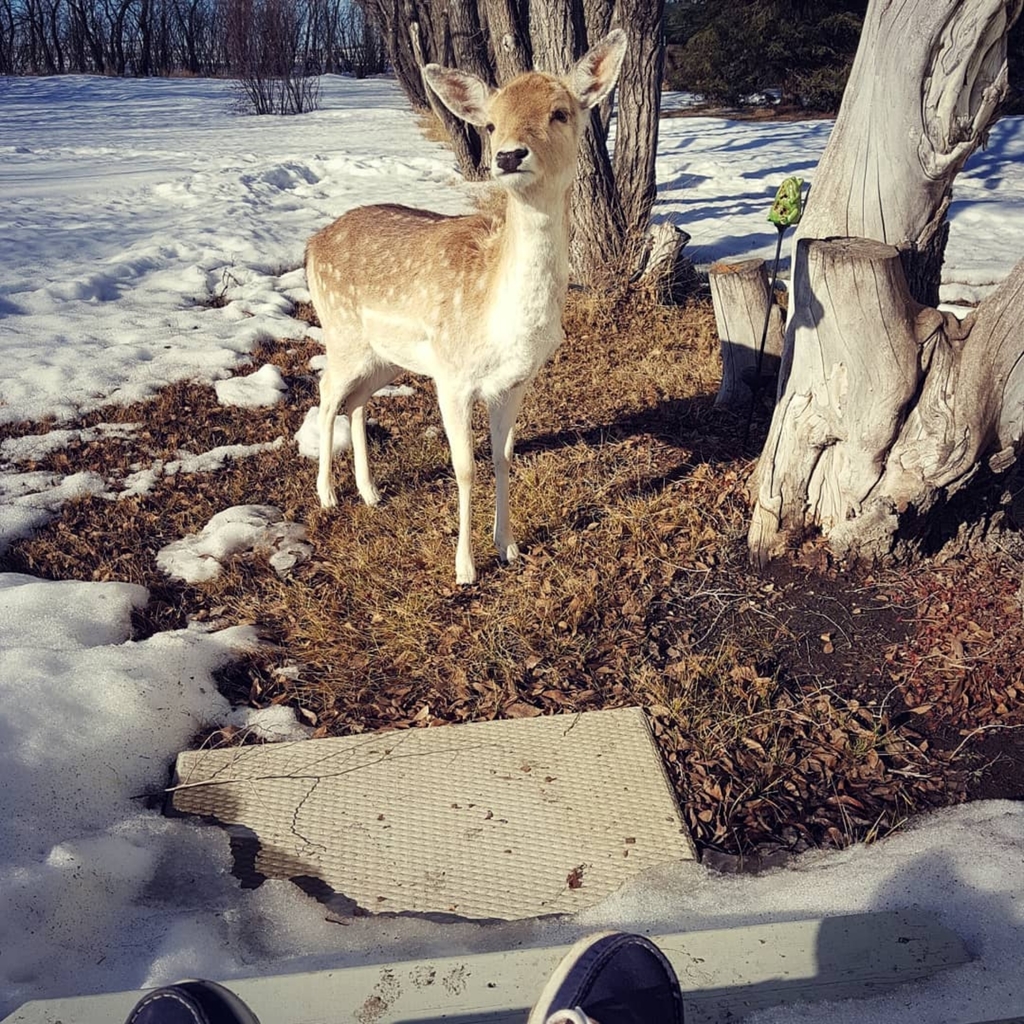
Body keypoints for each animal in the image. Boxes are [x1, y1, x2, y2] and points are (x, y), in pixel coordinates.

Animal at [305, 30, 627, 585]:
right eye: (491, 124)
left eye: (560, 112)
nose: (509, 156)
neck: (500, 322)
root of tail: (309, 247)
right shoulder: (453, 377)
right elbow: (466, 467)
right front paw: (465, 567)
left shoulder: (513, 383)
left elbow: (503, 458)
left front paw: (509, 546)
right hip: (341, 331)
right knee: (326, 395)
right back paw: (327, 495)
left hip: (386, 355)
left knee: (356, 400)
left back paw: (370, 492)